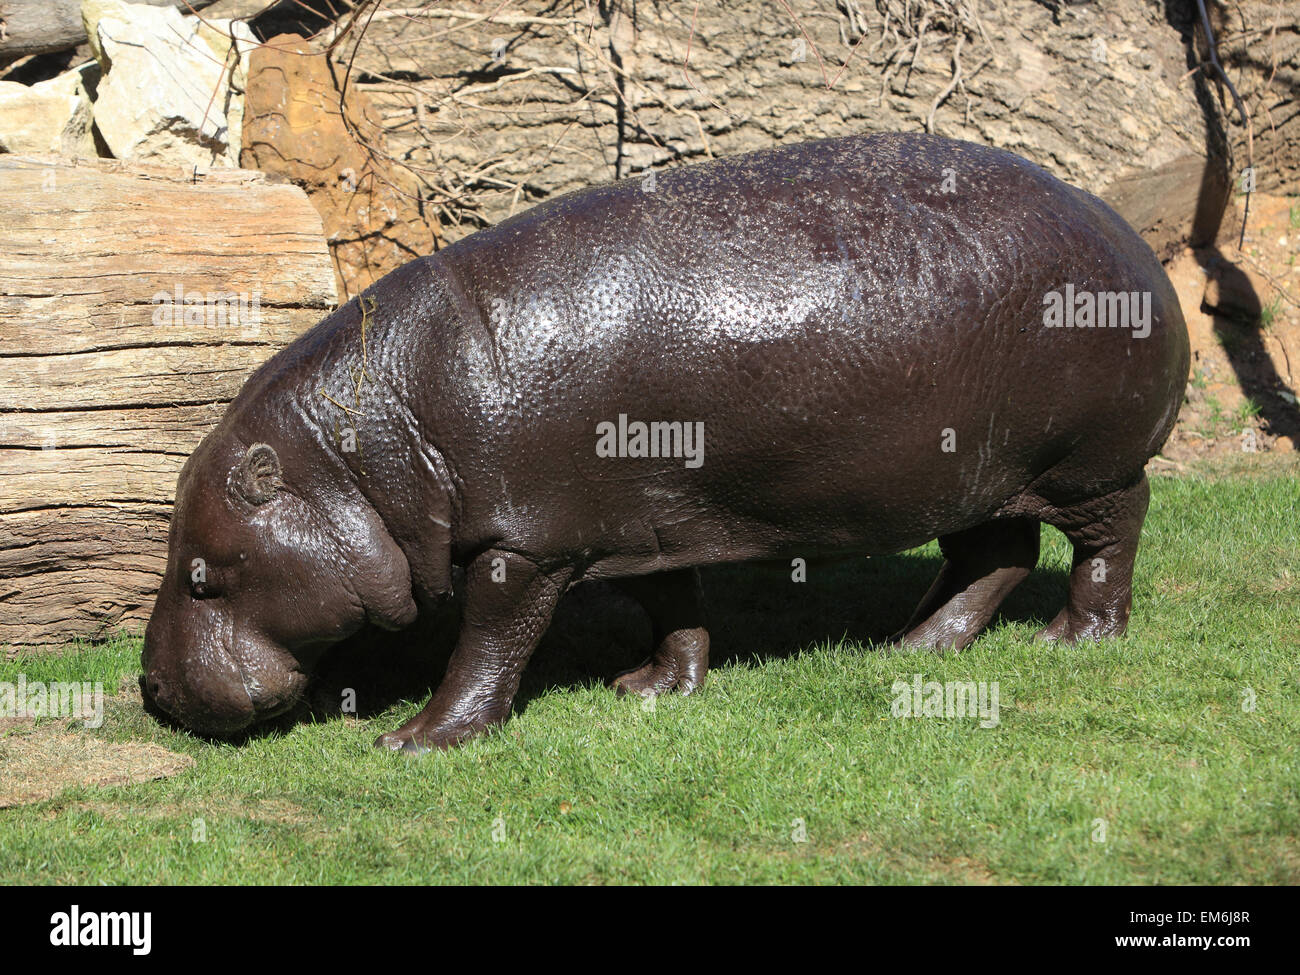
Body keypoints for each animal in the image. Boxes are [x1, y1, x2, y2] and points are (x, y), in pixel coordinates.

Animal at [141, 132, 1189, 751]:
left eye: (201, 574)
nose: (148, 686)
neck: (366, 453)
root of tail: (1130, 234)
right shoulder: (647, 519)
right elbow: (670, 605)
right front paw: (648, 688)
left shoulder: (524, 547)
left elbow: (486, 646)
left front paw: (416, 740)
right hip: (971, 470)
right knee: (994, 552)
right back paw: (910, 645)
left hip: (1087, 464)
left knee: (1110, 536)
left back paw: (1074, 637)